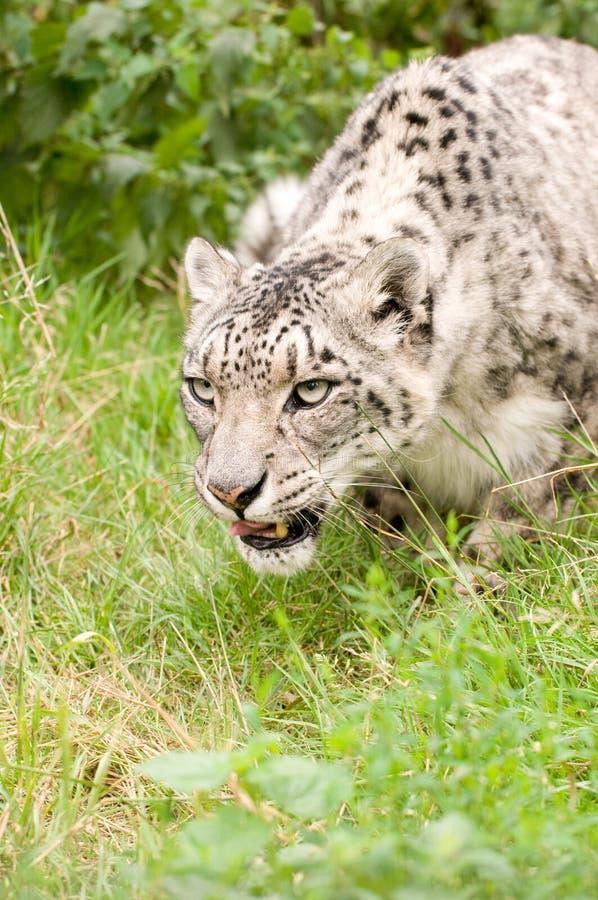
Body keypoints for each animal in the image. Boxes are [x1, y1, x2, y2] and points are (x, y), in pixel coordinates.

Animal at [180, 35, 598, 578]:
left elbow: (527, 507)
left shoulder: (566, 414)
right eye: (203, 388)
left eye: (311, 391)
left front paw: (479, 577)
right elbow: (398, 522)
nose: (231, 492)